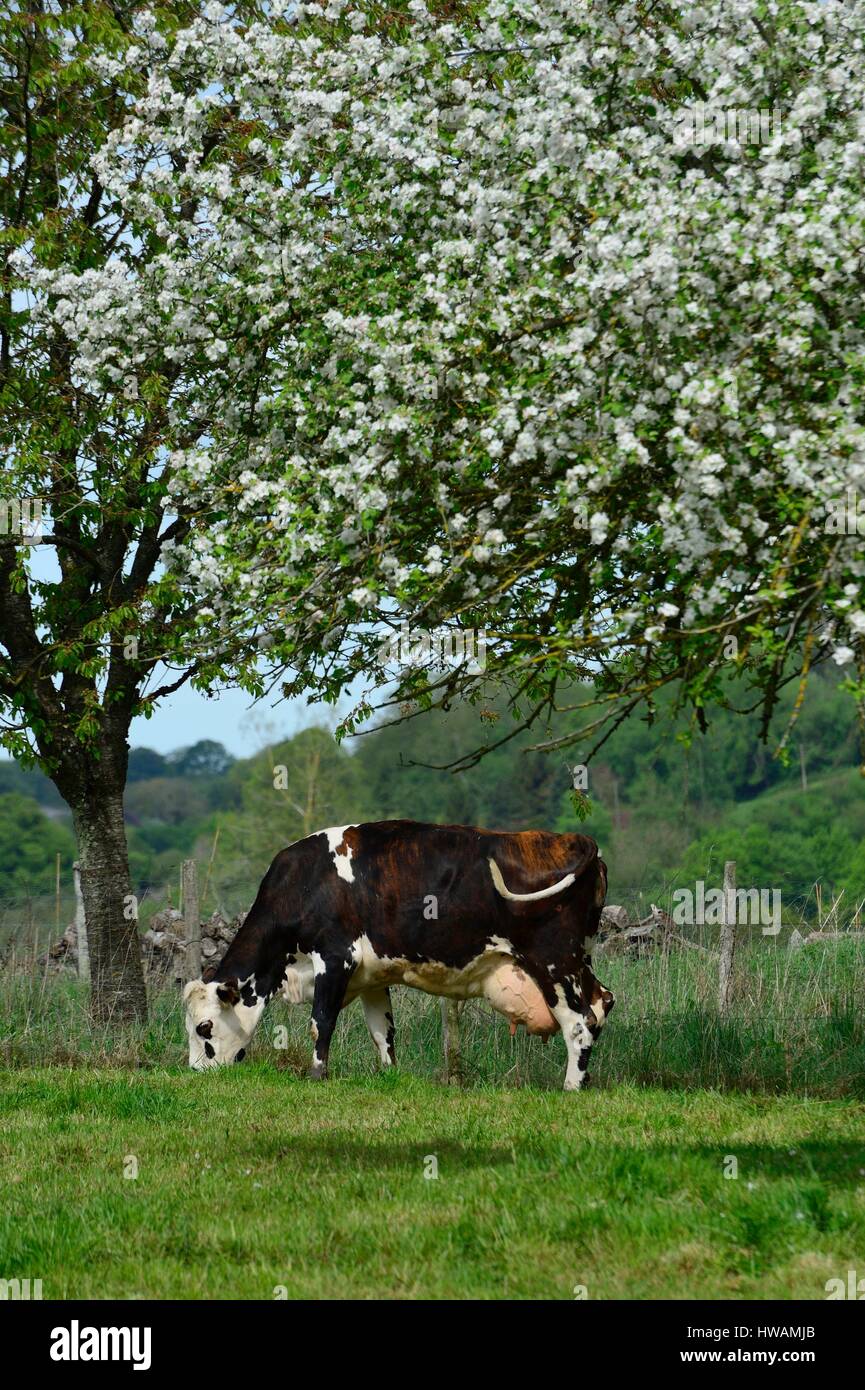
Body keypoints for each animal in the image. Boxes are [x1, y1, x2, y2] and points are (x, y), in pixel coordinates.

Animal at [183, 820, 614, 1091]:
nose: (196, 1073)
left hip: (554, 962)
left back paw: (571, 1086)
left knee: (579, 1023)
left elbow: (320, 1022)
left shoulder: (335, 958)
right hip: (580, 960)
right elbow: (382, 1031)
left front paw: (317, 1075)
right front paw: (388, 1076)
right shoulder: (372, 977)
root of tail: (573, 840)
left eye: (204, 1027)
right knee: (601, 1004)